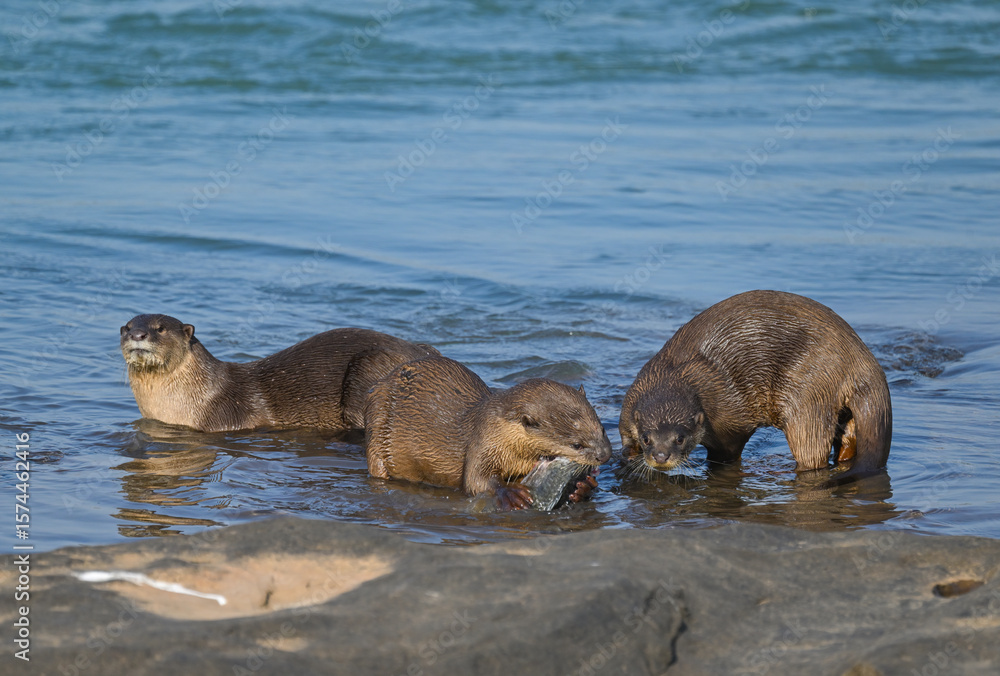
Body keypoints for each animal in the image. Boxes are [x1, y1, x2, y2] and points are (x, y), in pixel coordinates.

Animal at [363, 356, 612, 509]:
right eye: (576, 444)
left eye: (602, 429)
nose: (605, 455)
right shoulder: (483, 441)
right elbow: (475, 480)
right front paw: (511, 493)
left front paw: (582, 488)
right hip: (377, 425)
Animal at [619, 290, 891, 480]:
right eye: (646, 438)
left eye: (679, 439)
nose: (660, 456)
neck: (677, 373)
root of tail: (859, 356)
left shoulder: (729, 421)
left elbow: (728, 451)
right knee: (848, 438)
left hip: (809, 396)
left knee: (811, 454)